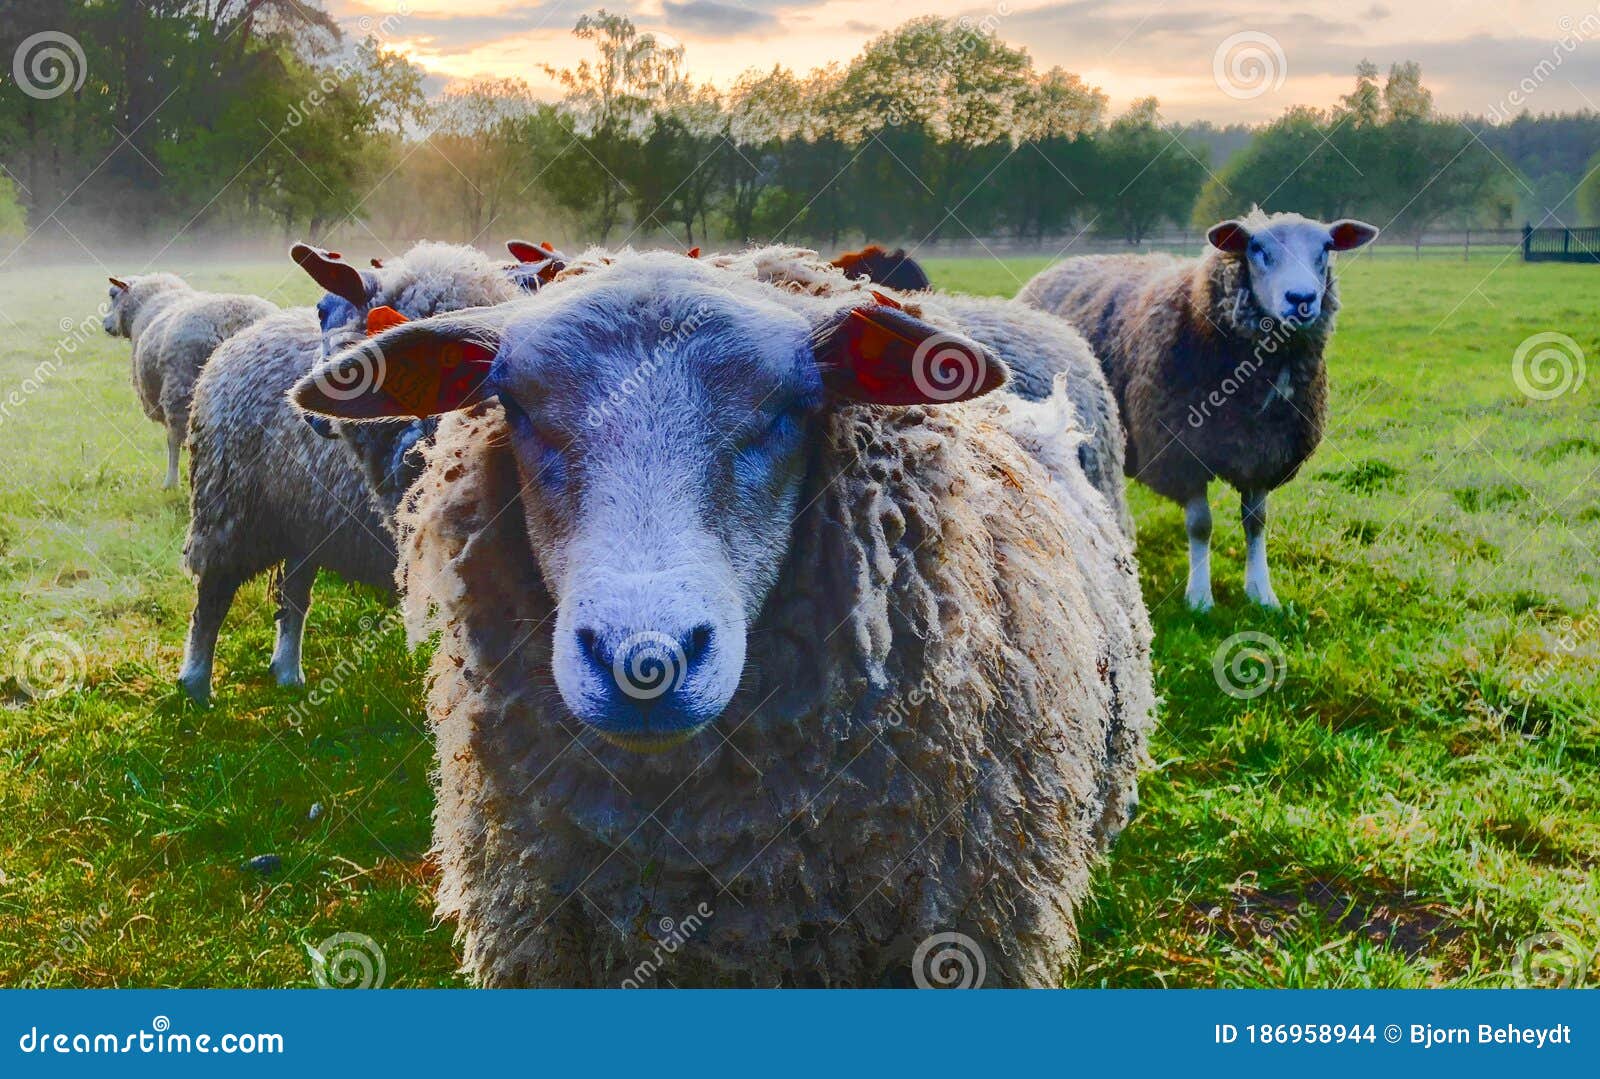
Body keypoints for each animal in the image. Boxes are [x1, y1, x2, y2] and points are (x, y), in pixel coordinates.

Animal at [102, 274, 276, 488]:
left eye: (113, 294)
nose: (105, 324)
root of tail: (233, 322)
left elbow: (172, 442)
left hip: (181, 388)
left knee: (176, 438)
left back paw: (172, 482)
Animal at [176, 242, 522, 705]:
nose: (308, 415)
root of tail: (249, 331)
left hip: (302, 520)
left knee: (294, 594)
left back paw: (287, 672)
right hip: (230, 508)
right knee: (212, 599)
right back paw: (196, 684)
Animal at [1018, 209, 1378, 610]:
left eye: (1326, 248)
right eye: (1257, 248)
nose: (1301, 298)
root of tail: (1068, 262)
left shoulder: (1264, 453)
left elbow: (1256, 521)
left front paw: (1261, 592)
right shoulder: (1181, 451)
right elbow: (1201, 525)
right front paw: (1201, 596)